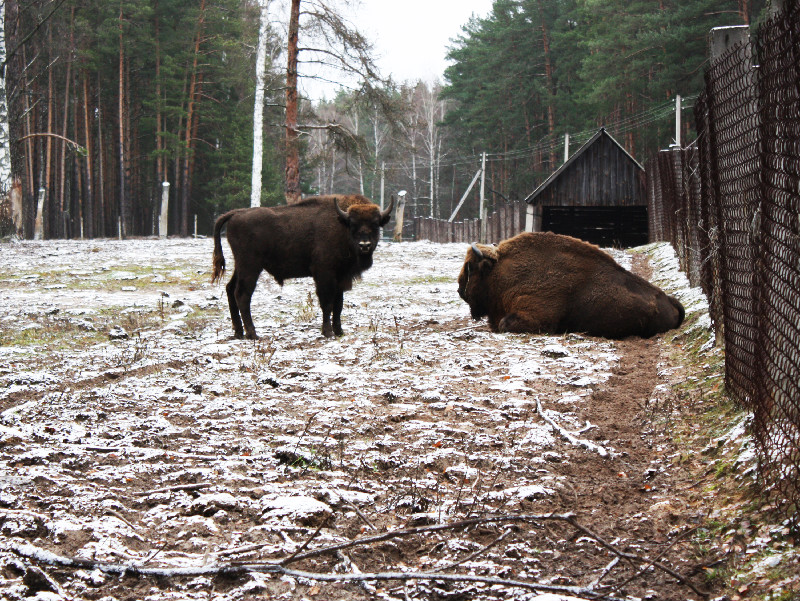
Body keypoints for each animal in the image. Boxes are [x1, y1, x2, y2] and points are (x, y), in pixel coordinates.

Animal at [212, 194, 393, 340]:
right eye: (353, 224)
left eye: (376, 224)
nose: (365, 245)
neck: (341, 224)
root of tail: (236, 213)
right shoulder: (324, 275)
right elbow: (327, 303)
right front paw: (328, 332)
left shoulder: (341, 277)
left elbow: (338, 305)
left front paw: (339, 331)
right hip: (250, 267)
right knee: (242, 294)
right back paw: (252, 334)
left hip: (241, 266)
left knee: (230, 289)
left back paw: (238, 332)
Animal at [457, 231, 685, 339]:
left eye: (470, 267)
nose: (459, 289)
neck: (502, 272)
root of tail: (669, 300)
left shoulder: (535, 316)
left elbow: (505, 324)